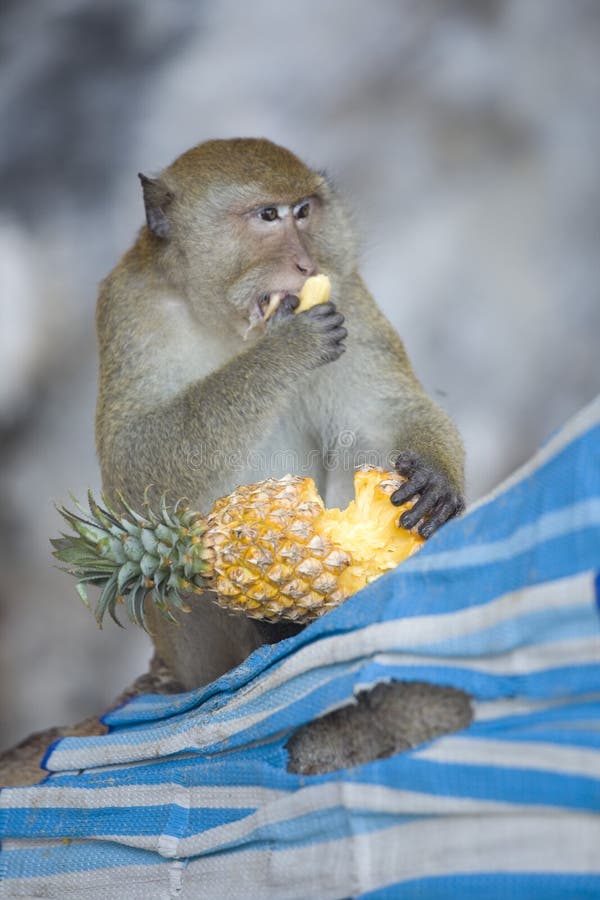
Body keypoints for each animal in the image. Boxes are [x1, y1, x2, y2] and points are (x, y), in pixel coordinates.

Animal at [96, 137, 465, 702]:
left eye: (304, 211)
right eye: (268, 216)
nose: (305, 263)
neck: (231, 327)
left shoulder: (348, 294)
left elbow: (382, 416)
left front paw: (434, 478)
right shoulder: (128, 308)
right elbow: (133, 466)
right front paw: (287, 348)